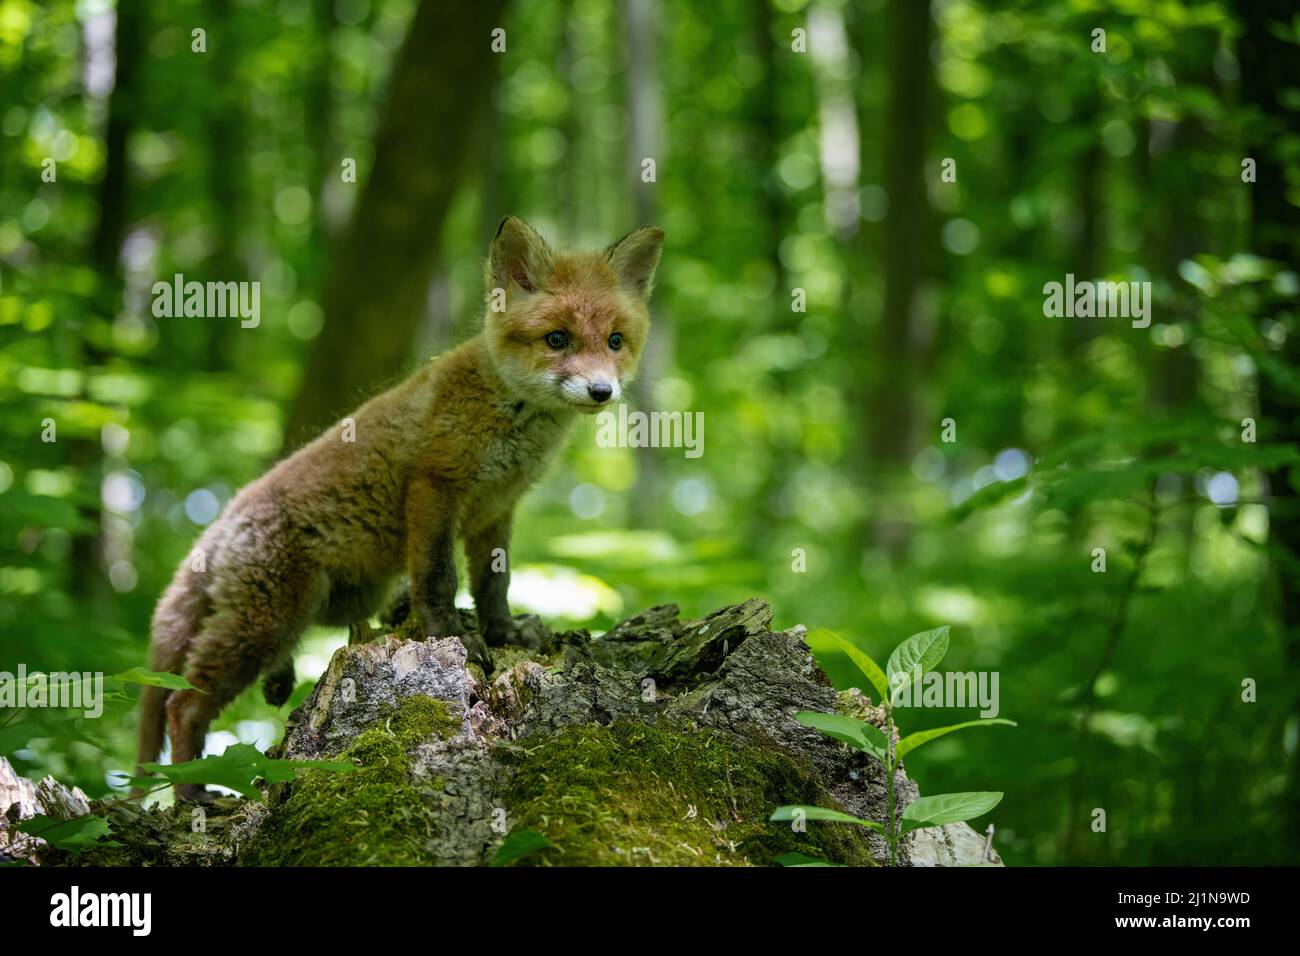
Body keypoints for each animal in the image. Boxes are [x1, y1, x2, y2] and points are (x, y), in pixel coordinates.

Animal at [135, 216, 663, 800]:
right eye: (557, 339)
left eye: (615, 341)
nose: (602, 390)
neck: (511, 419)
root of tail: (225, 516)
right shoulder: (435, 487)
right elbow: (438, 576)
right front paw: (451, 635)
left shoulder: (495, 510)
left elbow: (493, 584)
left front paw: (503, 633)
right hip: (268, 619)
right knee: (182, 705)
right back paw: (194, 796)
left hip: (326, 602)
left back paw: (281, 679)